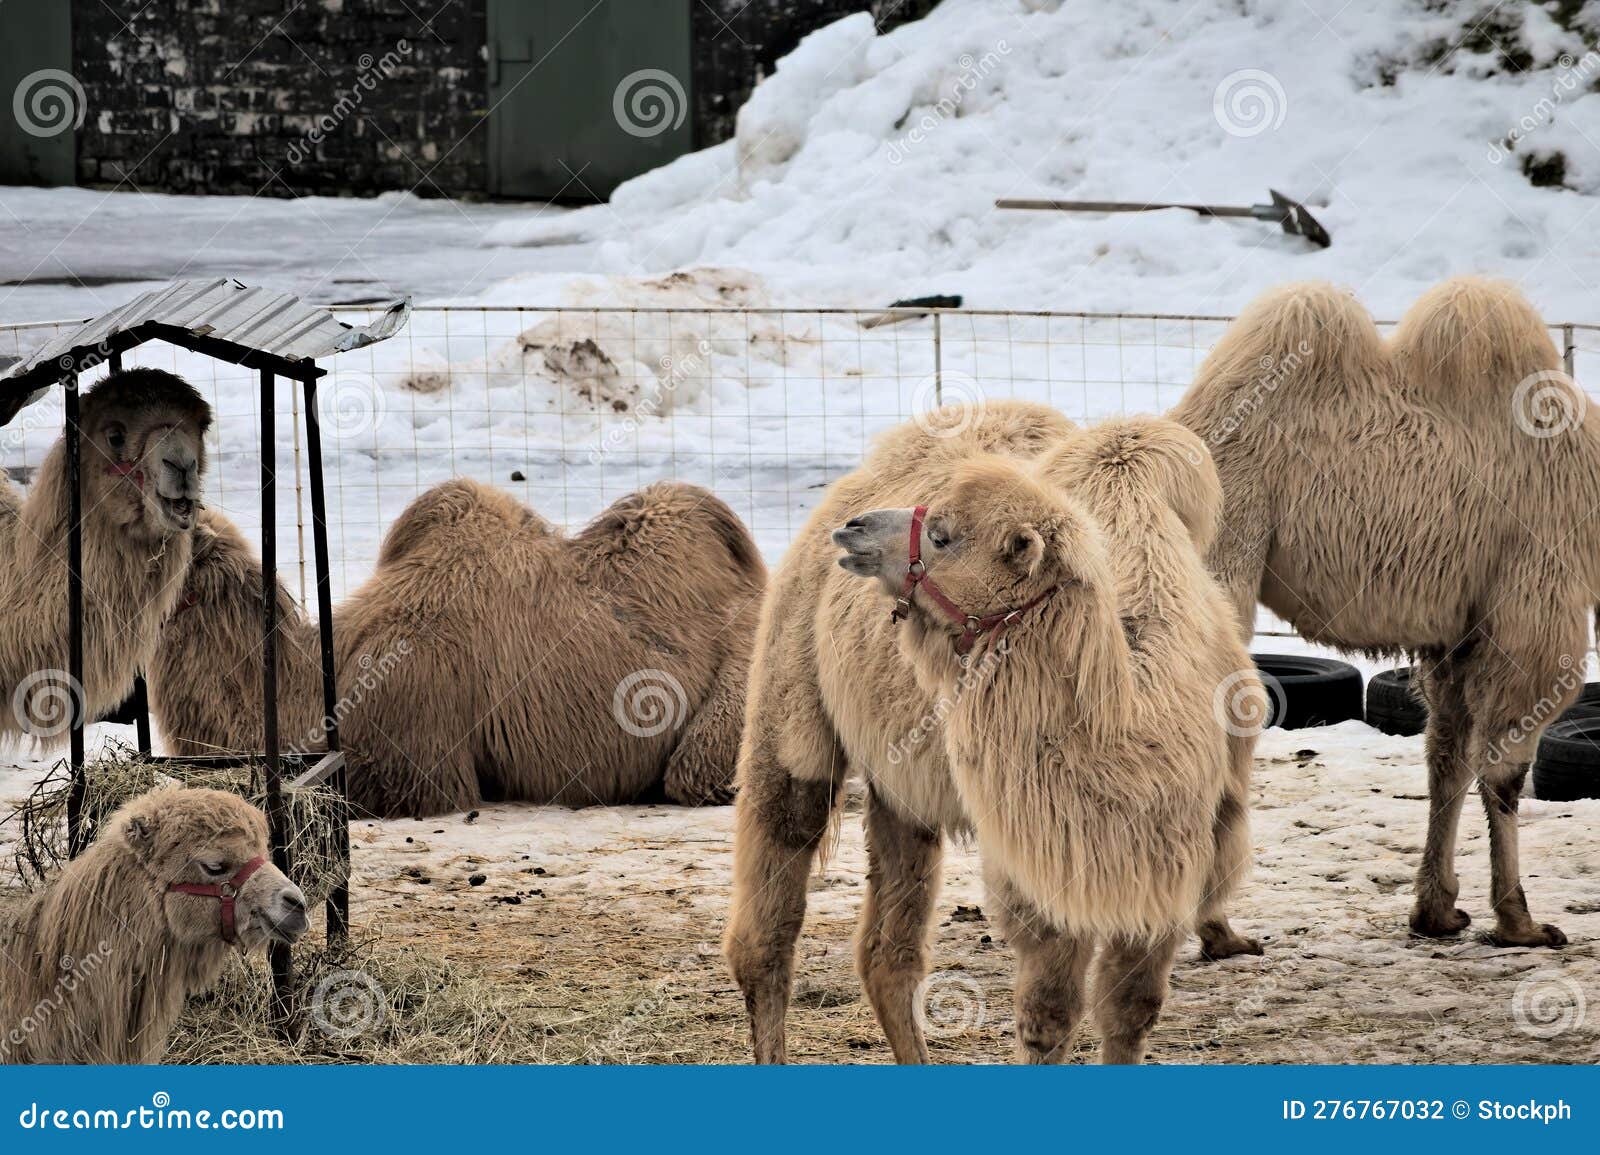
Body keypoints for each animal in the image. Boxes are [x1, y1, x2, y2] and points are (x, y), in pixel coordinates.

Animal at [723, 400, 1260, 1063]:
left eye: (943, 535)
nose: (856, 527)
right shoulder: (1037, 850)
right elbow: (1049, 1013)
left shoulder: (1168, 861)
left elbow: (1132, 1012)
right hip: (789, 681)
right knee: (771, 909)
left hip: (905, 787)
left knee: (889, 950)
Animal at [1170, 276, 1597, 948]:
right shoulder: (1535, 601)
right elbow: (1504, 771)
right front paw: (1520, 922)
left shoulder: (1458, 631)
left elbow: (1446, 757)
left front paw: (1437, 911)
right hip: (1225, 551)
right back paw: (1216, 930)